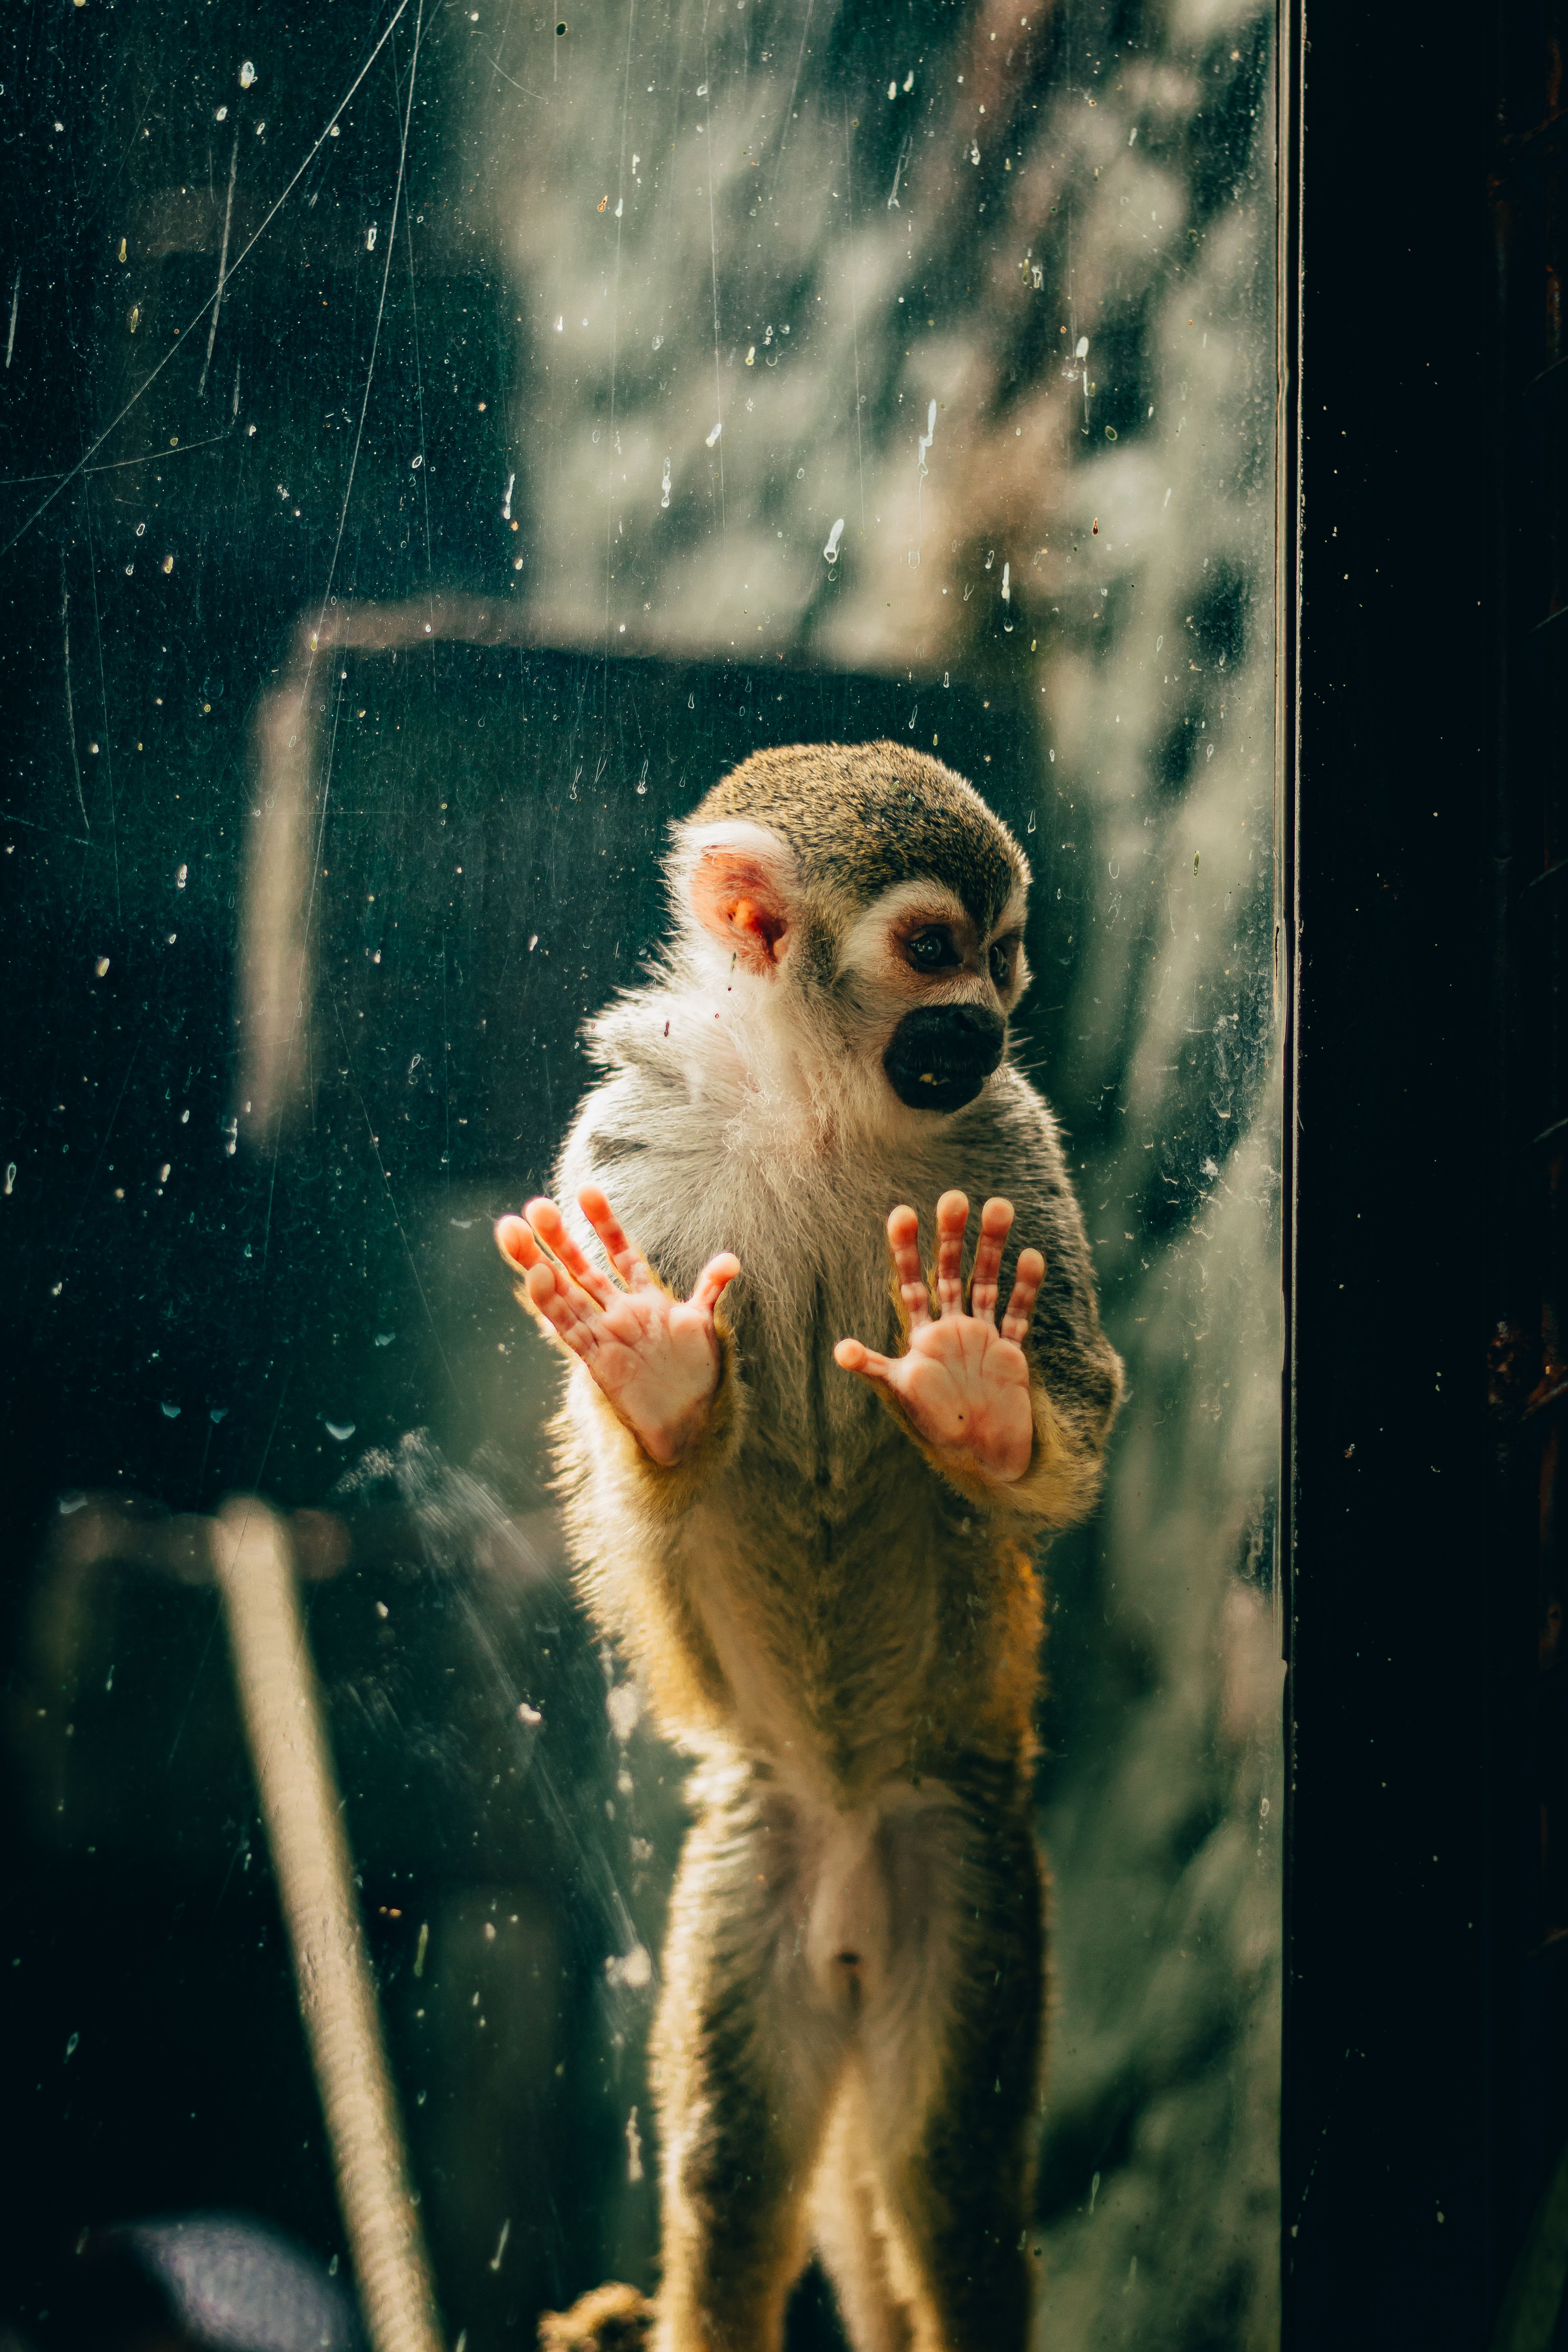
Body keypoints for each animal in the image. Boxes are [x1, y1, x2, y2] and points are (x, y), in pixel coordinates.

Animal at [496, 742, 1124, 2352]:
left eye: (1006, 947)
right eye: (932, 946)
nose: (986, 1019)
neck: (817, 1100)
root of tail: (846, 1846)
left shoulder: (1016, 1142)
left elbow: (1077, 1407)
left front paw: (979, 1401)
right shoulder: (615, 1146)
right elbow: (615, 1491)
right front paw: (661, 1381)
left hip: (966, 1867)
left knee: (952, 2185)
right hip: (751, 1871)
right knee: (731, 2164)